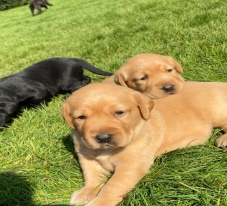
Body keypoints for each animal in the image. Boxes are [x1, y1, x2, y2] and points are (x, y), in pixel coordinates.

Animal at [61, 83, 227, 205]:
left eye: (119, 112)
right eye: (81, 117)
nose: (103, 137)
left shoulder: (132, 165)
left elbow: (112, 187)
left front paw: (99, 202)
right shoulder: (87, 157)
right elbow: (92, 177)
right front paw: (86, 192)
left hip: (217, 111)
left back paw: (223, 139)